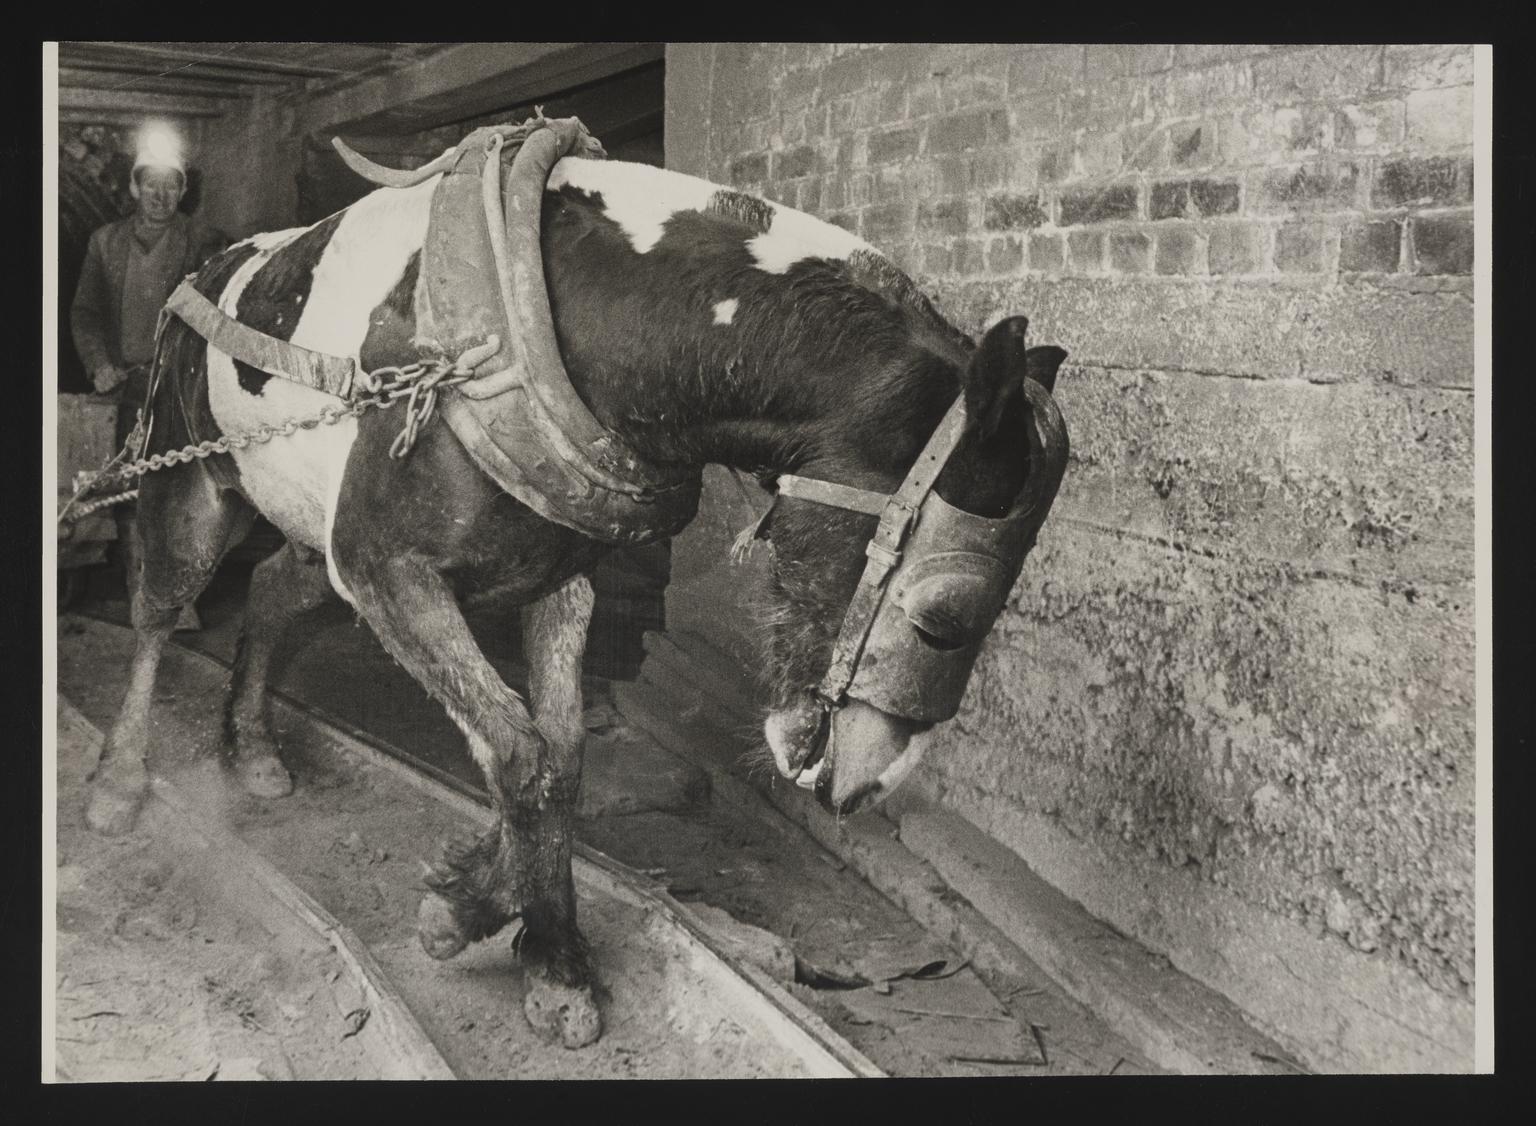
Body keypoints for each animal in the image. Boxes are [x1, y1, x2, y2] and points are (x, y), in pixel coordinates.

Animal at [82, 137, 1069, 1049]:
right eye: (943, 620)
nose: (867, 782)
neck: (558, 322)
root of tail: (208, 270)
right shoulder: (384, 566)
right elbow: (520, 752)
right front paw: (482, 924)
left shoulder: (556, 580)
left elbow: (560, 756)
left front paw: (529, 940)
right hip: (190, 482)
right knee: (158, 610)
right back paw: (118, 781)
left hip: (304, 521)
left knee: (275, 589)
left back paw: (251, 746)